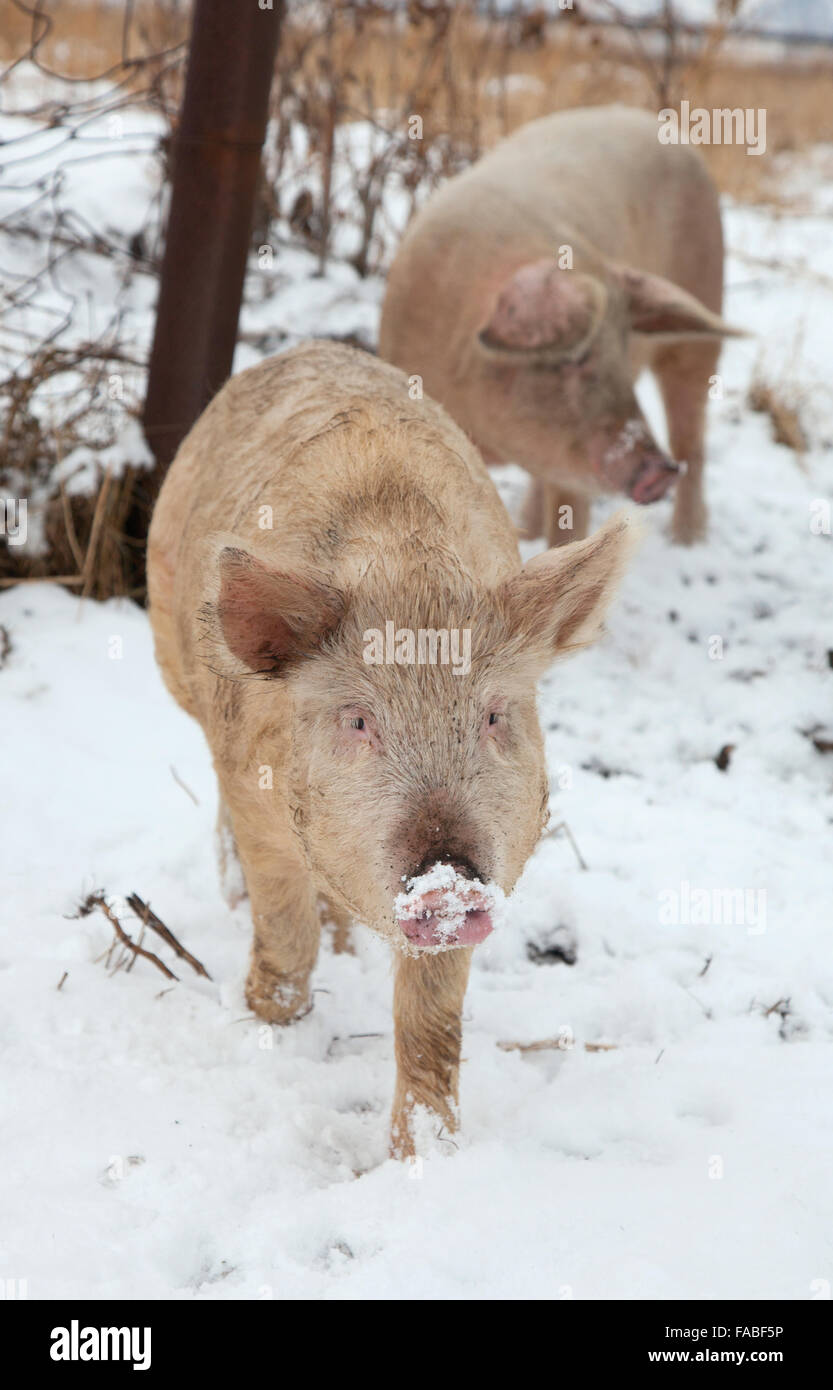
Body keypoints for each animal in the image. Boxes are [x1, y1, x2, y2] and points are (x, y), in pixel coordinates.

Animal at [147, 340, 635, 1157]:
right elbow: (285, 931)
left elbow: (432, 1022)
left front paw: (427, 1157)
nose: (446, 878)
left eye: (494, 714)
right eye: (356, 721)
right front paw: (274, 1024)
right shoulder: (252, 785)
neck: (407, 574)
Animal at [379, 104, 744, 547]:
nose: (659, 471)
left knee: (691, 438)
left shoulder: (574, 472)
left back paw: (686, 539)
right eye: (573, 358)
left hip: (703, 312)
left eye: (623, 349)